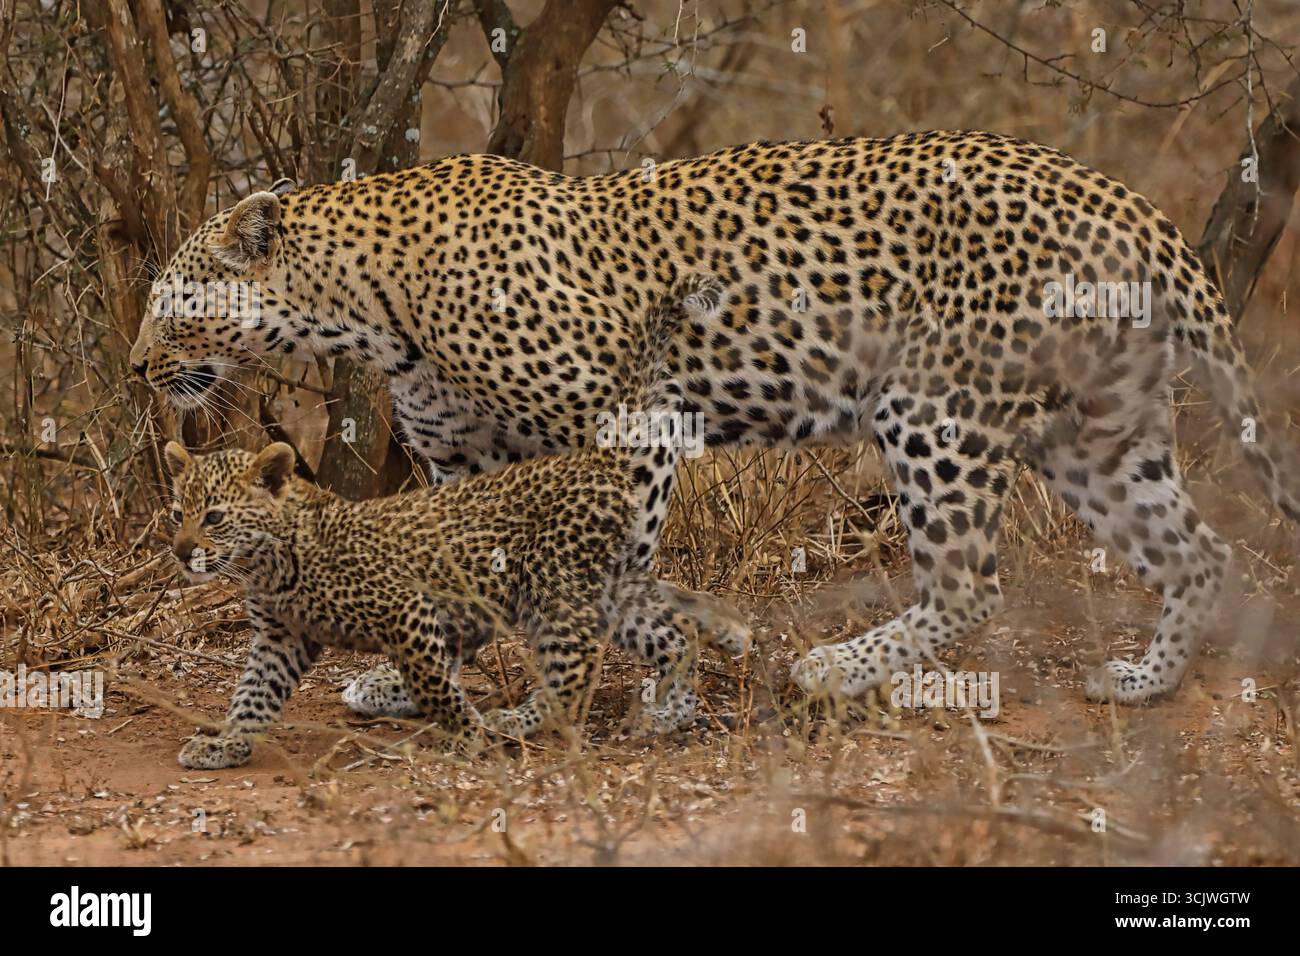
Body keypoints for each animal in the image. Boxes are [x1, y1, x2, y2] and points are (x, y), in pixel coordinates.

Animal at [131, 129, 1300, 715]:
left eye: (175, 297)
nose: (138, 364)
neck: (370, 311)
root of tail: (1128, 201)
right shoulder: (463, 458)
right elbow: (460, 566)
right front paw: (401, 673)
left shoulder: (627, 423)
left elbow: (607, 570)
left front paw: (655, 664)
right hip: (1093, 434)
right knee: (1200, 553)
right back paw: (1145, 683)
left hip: (933, 407)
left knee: (972, 579)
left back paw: (838, 669)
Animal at [165, 276, 750, 770]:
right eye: (177, 514)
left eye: (214, 516)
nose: (181, 552)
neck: (267, 565)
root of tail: (596, 461)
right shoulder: (278, 638)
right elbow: (253, 697)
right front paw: (226, 745)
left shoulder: (406, 611)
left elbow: (434, 685)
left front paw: (467, 735)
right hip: (607, 585)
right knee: (672, 631)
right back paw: (685, 686)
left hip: (554, 587)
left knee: (575, 669)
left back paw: (518, 721)